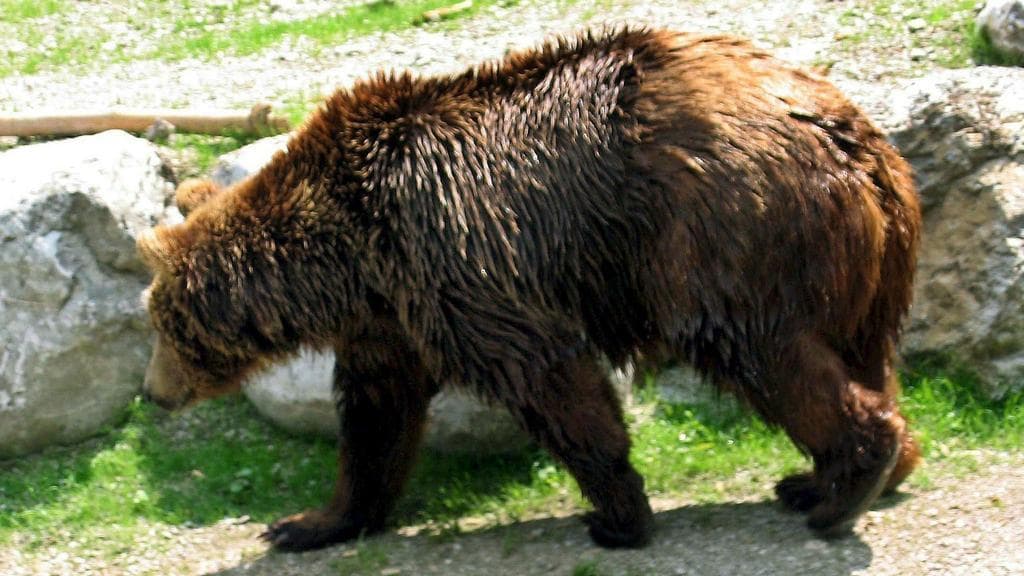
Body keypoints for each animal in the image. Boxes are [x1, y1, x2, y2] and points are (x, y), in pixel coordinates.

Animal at [138, 27, 922, 551]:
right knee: (858, 356)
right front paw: (311, 522)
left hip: (725, 234)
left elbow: (549, 378)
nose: (152, 392)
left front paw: (616, 515)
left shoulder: (452, 261)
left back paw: (846, 484)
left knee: (758, 349)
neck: (349, 262)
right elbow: (374, 418)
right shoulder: (392, 315)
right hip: (860, 263)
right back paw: (844, 474)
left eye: (164, 326)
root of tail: (852, 132)